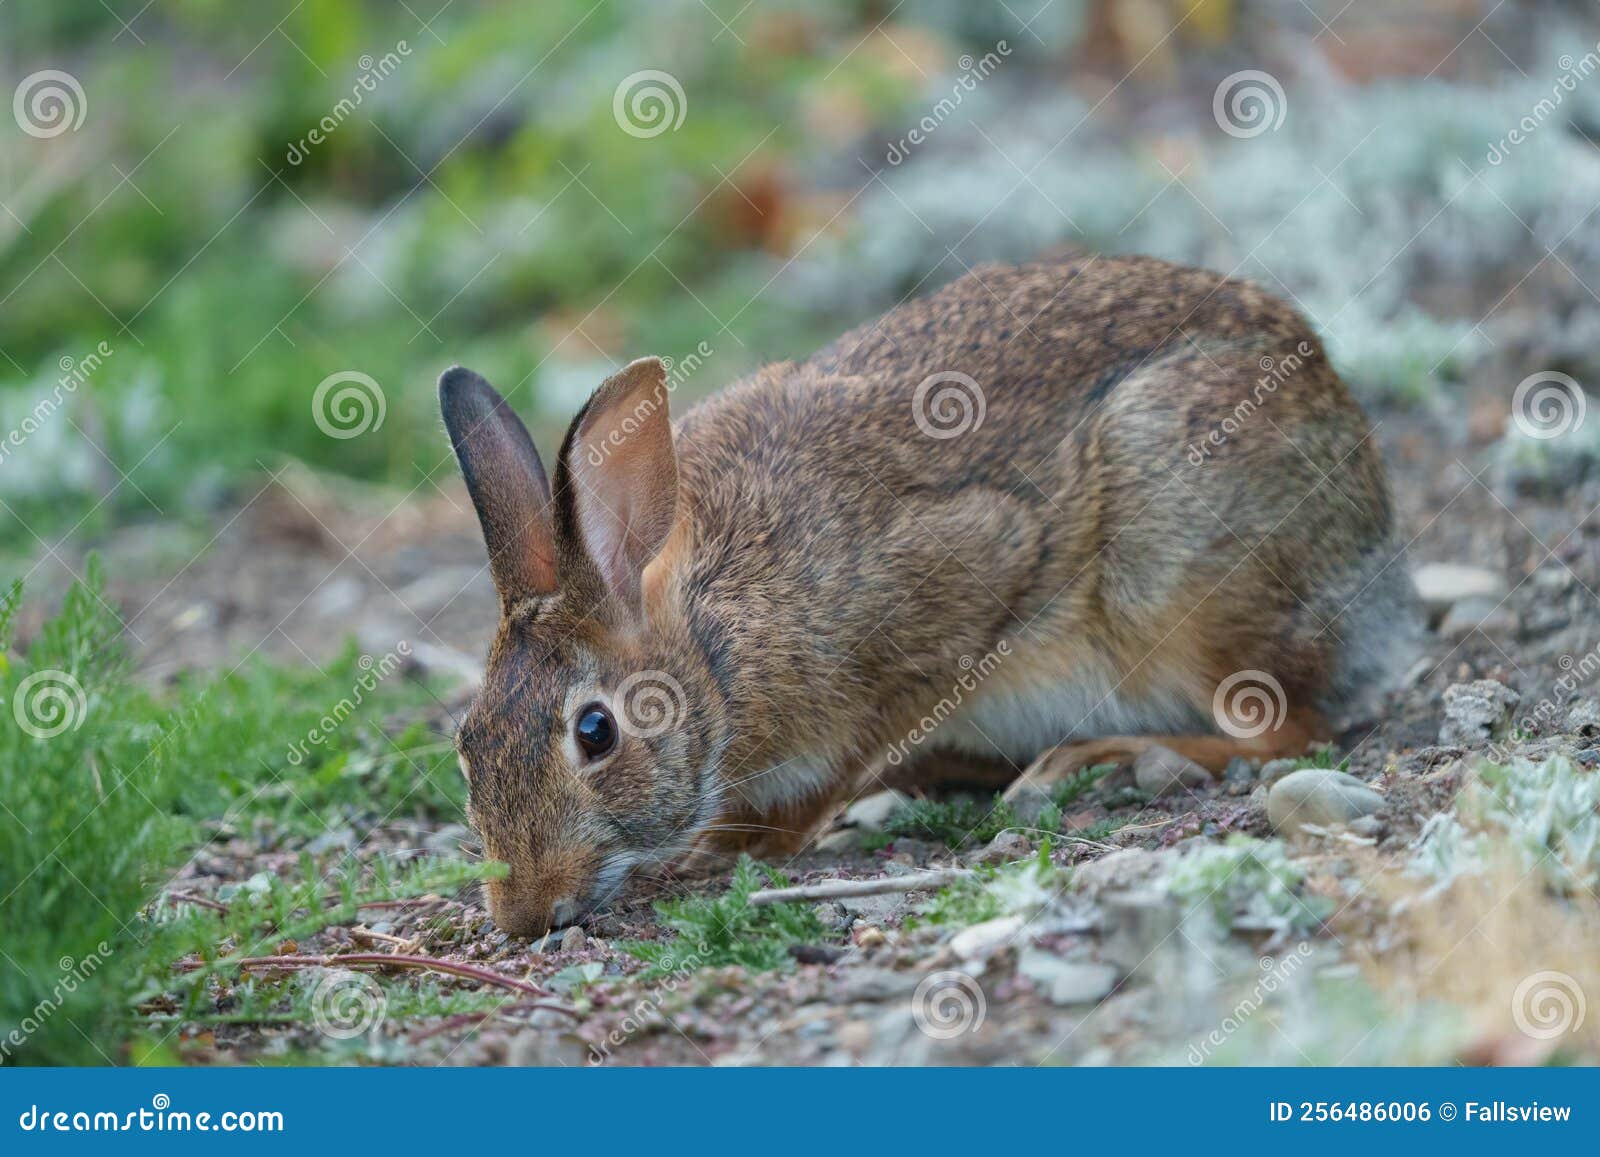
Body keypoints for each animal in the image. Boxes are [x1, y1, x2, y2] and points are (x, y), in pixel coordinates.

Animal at [439, 252, 1417, 935]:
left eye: (595, 732)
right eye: (466, 742)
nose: (521, 914)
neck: (714, 645)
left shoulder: (953, 593)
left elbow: (841, 764)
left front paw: (736, 846)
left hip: (1182, 577)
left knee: (1287, 724)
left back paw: (1099, 756)